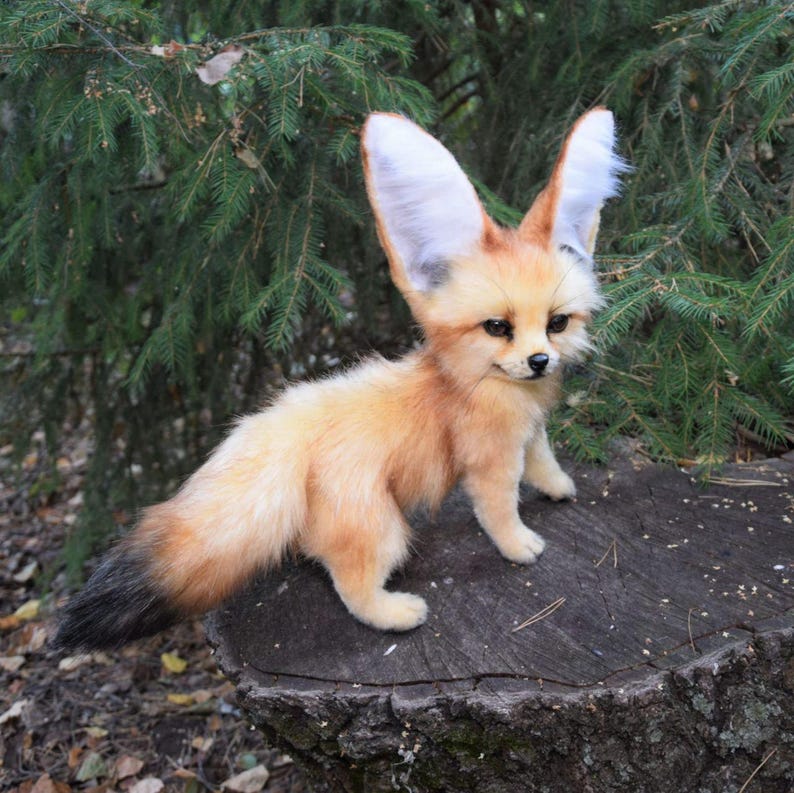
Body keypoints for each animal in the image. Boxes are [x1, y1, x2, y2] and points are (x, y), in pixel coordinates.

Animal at [54, 107, 625, 651]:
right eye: (497, 328)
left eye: (557, 323)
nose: (539, 361)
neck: (480, 388)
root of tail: (287, 429)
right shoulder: (488, 462)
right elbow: (499, 511)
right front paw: (520, 546)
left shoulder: (530, 434)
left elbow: (544, 460)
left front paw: (560, 488)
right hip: (382, 527)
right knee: (350, 584)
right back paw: (397, 614)